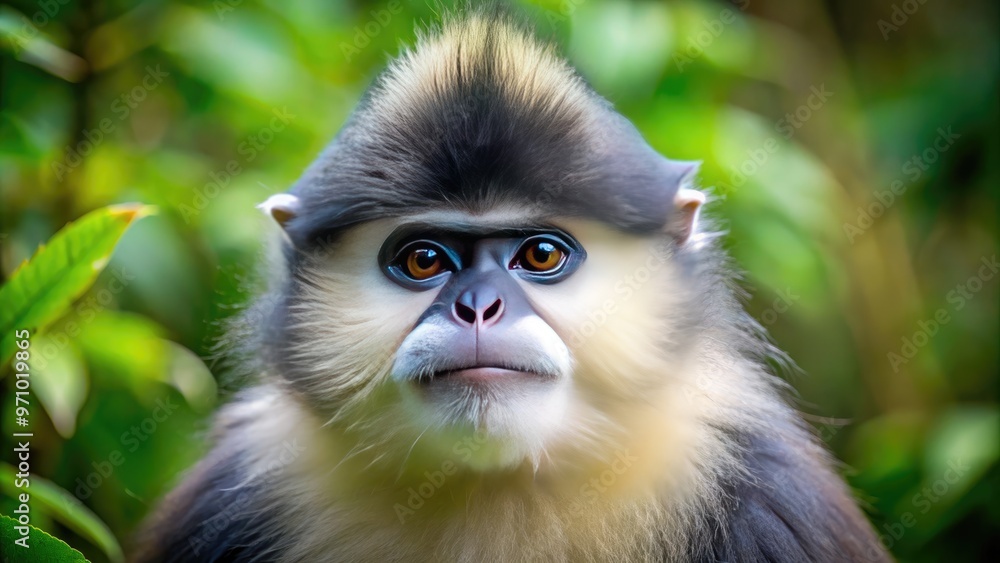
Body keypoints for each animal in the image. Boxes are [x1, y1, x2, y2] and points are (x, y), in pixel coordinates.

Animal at [133, 7, 891, 563]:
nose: (479, 305)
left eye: (541, 254)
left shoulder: (771, 495)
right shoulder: (235, 489)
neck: (491, 485)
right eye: (424, 261)